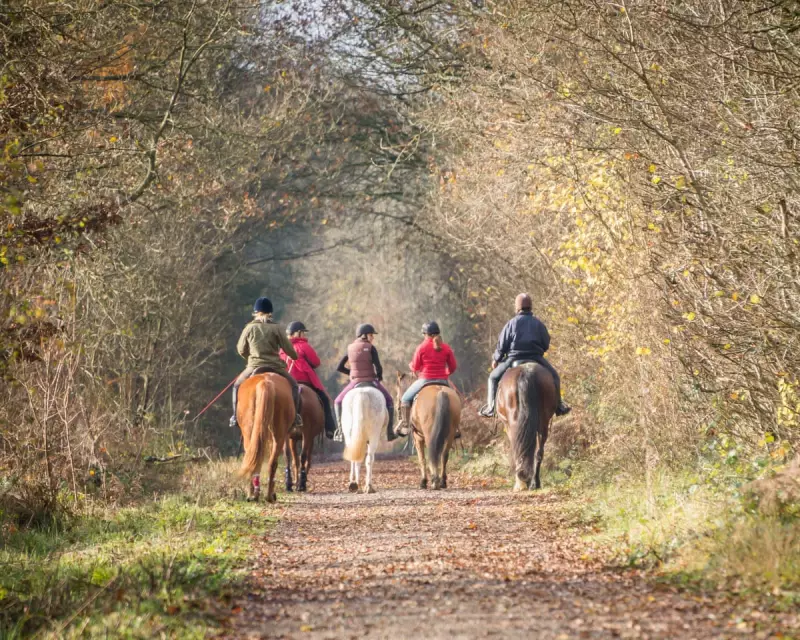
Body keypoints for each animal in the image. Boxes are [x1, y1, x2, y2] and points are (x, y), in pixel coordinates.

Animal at [236, 372, 295, 503]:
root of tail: (265, 380)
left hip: (250, 432)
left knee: (256, 458)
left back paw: (255, 494)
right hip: (278, 434)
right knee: (269, 462)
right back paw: (266, 495)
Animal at [496, 362, 556, 491]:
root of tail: (526, 372)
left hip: (514, 423)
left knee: (519, 450)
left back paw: (522, 482)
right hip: (543, 422)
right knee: (539, 453)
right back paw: (534, 483)